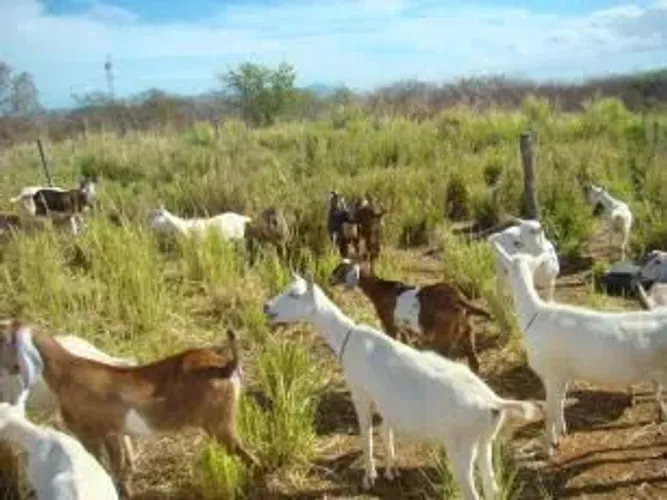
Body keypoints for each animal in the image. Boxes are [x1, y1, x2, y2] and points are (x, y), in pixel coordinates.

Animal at [0, 321, 257, 497]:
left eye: (1, 338)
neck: (67, 371)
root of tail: (226, 366)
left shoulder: (88, 433)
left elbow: (103, 465)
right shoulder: (110, 431)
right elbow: (118, 468)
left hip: (219, 424)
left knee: (250, 459)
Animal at [263, 274, 542, 499]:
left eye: (295, 294)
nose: (266, 307)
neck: (347, 338)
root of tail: (493, 402)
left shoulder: (360, 392)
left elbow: (366, 434)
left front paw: (369, 477)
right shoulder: (384, 401)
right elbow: (386, 430)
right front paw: (390, 471)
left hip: (461, 446)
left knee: (472, 493)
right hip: (484, 442)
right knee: (492, 488)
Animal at [329, 258, 491, 373]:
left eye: (339, 270)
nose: (330, 280)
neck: (380, 289)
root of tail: (459, 300)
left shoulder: (390, 325)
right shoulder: (404, 327)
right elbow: (406, 344)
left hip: (443, 336)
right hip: (468, 332)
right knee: (475, 363)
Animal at [491, 241, 667, 456]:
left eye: (505, 269)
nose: (501, 290)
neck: (535, 314)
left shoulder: (551, 374)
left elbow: (550, 409)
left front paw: (547, 448)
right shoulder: (563, 374)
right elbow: (559, 405)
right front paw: (560, 435)